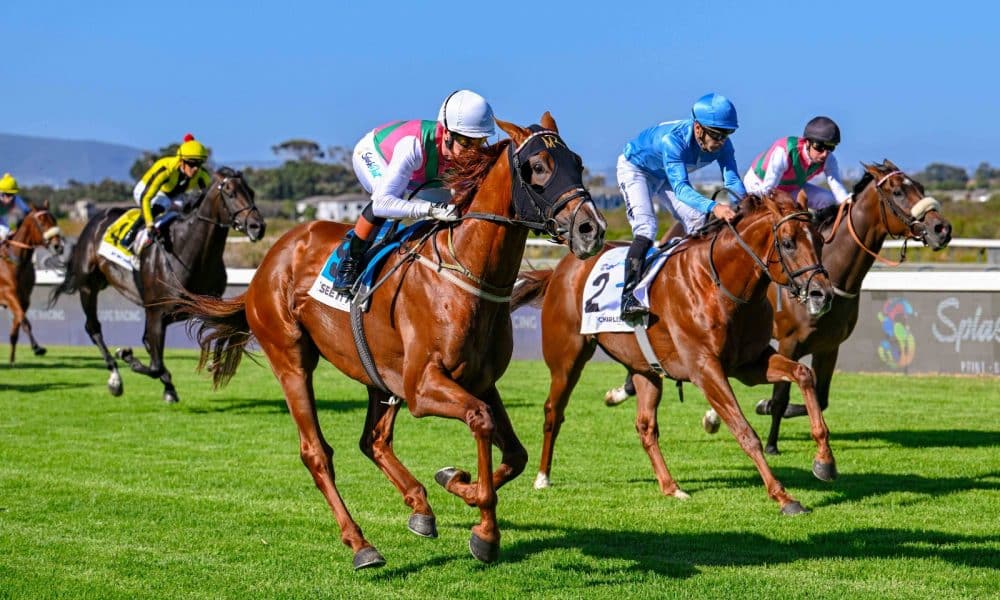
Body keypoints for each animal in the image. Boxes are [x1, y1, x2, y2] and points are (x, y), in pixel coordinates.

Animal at [0, 202, 65, 363]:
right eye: (41, 222)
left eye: (54, 220)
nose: (58, 247)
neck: (17, 261)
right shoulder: (8, 294)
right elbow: (24, 321)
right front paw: (37, 347)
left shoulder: (24, 299)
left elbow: (18, 324)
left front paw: (12, 359)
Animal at [49, 167, 264, 403]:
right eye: (229, 192)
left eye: (251, 192)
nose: (258, 226)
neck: (187, 253)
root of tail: (95, 220)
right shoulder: (157, 313)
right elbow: (155, 365)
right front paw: (127, 357)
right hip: (89, 286)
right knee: (94, 328)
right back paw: (115, 378)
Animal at [173, 114, 606, 569]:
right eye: (538, 166)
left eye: (577, 163)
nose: (591, 228)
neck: (467, 273)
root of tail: (269, 262)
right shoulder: (422, 386)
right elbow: (480, 420)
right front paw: (485, 531)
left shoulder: (481, 381)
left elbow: (515, 455)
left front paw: (456, 482)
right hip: (291, 360)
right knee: (317, 453)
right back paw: (361, 544)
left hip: (377, 373)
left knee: (374, 441)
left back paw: (420, 506)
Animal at [510, 189, 835, 515]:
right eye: (789, 242)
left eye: (820, 240)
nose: (823, 294)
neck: (719, 284)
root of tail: (561, 268)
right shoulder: (705, 368)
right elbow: (744, 431)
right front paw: (783, 497)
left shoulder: (750, 363)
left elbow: (803, 373)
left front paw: (824, 462)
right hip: (567, 358)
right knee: (553, 411)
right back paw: (542, 477)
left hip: (644, 369)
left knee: (645, 426)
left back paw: (670, 486)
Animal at [752, 160, 952, 453]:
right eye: (898, 192)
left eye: (920, 187)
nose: (942, 229)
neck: (831, 272)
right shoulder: (789, 342)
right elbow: (780, 397)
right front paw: (771, 444)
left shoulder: (829, 345)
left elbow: (819, 397)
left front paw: (766, 406)